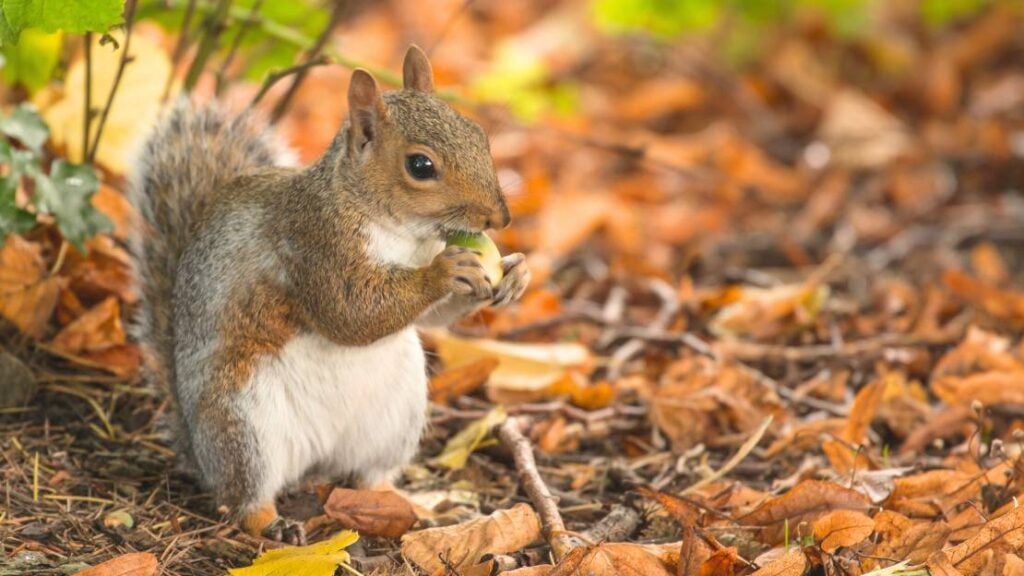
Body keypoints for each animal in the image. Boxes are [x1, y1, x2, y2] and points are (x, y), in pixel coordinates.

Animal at [127, 45, 530, 544]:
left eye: (478, 135)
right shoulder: (314, 245)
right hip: (243, 421)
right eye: (420, 166)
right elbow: (350, 313)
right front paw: (444, 271)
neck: (399, 231)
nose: (500, 219)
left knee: (370, 477)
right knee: (245, 495)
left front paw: (515, 273)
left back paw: (414, 505)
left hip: (394, 418)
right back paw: (272, 523)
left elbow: (431, 319)